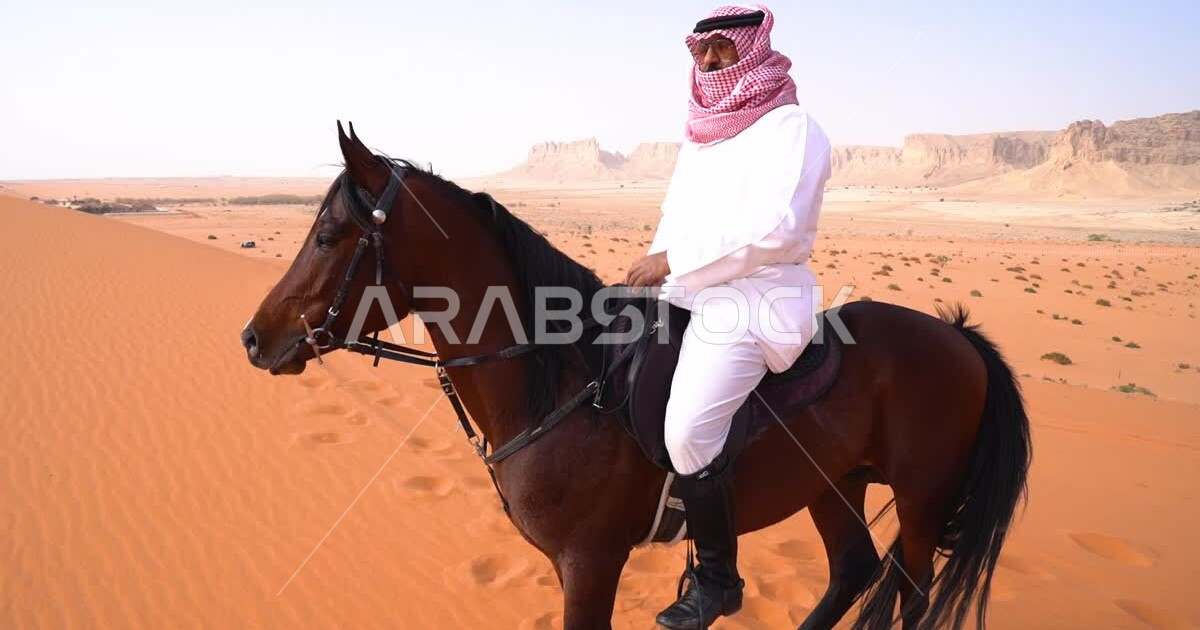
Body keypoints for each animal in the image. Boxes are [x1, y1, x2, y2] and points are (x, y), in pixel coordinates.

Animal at [241, 123, 1031, 630]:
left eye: (328, 236)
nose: (255, 339)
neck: (558, 384)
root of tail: (959, 338)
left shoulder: (590, 565)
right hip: (832, 485)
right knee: (851, 572)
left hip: (922, 500)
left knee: (910, 596)